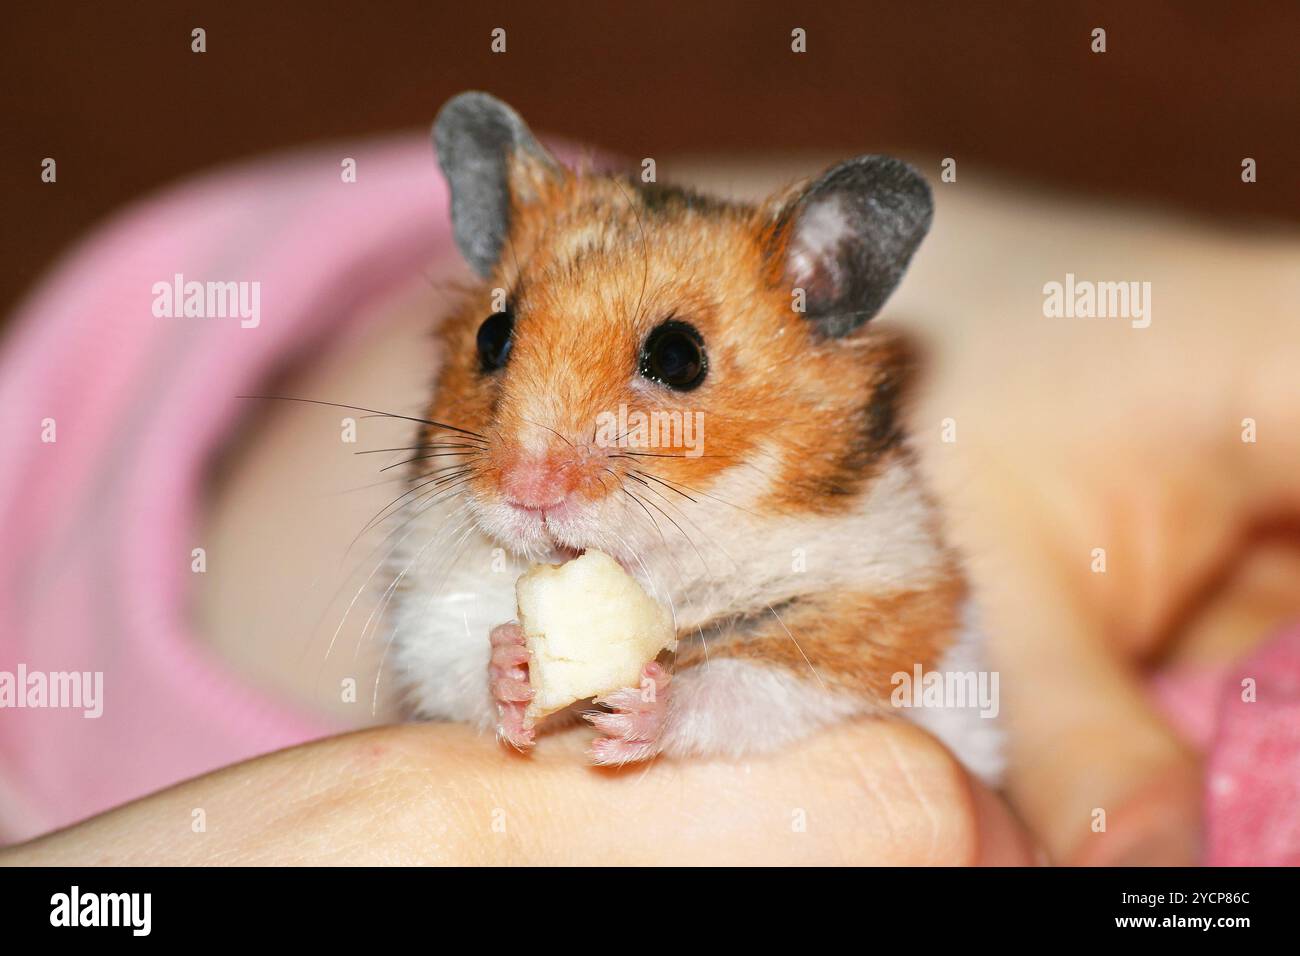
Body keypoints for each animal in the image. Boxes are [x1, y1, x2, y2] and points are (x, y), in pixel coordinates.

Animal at [387, 91, 1002, 781]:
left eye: (678, 356)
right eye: (491, 336)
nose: (527, 492)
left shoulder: (886, 611)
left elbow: (748, 679)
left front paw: (642, 711)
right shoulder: (428, 606)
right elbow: (450, 653)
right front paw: (514, 663)